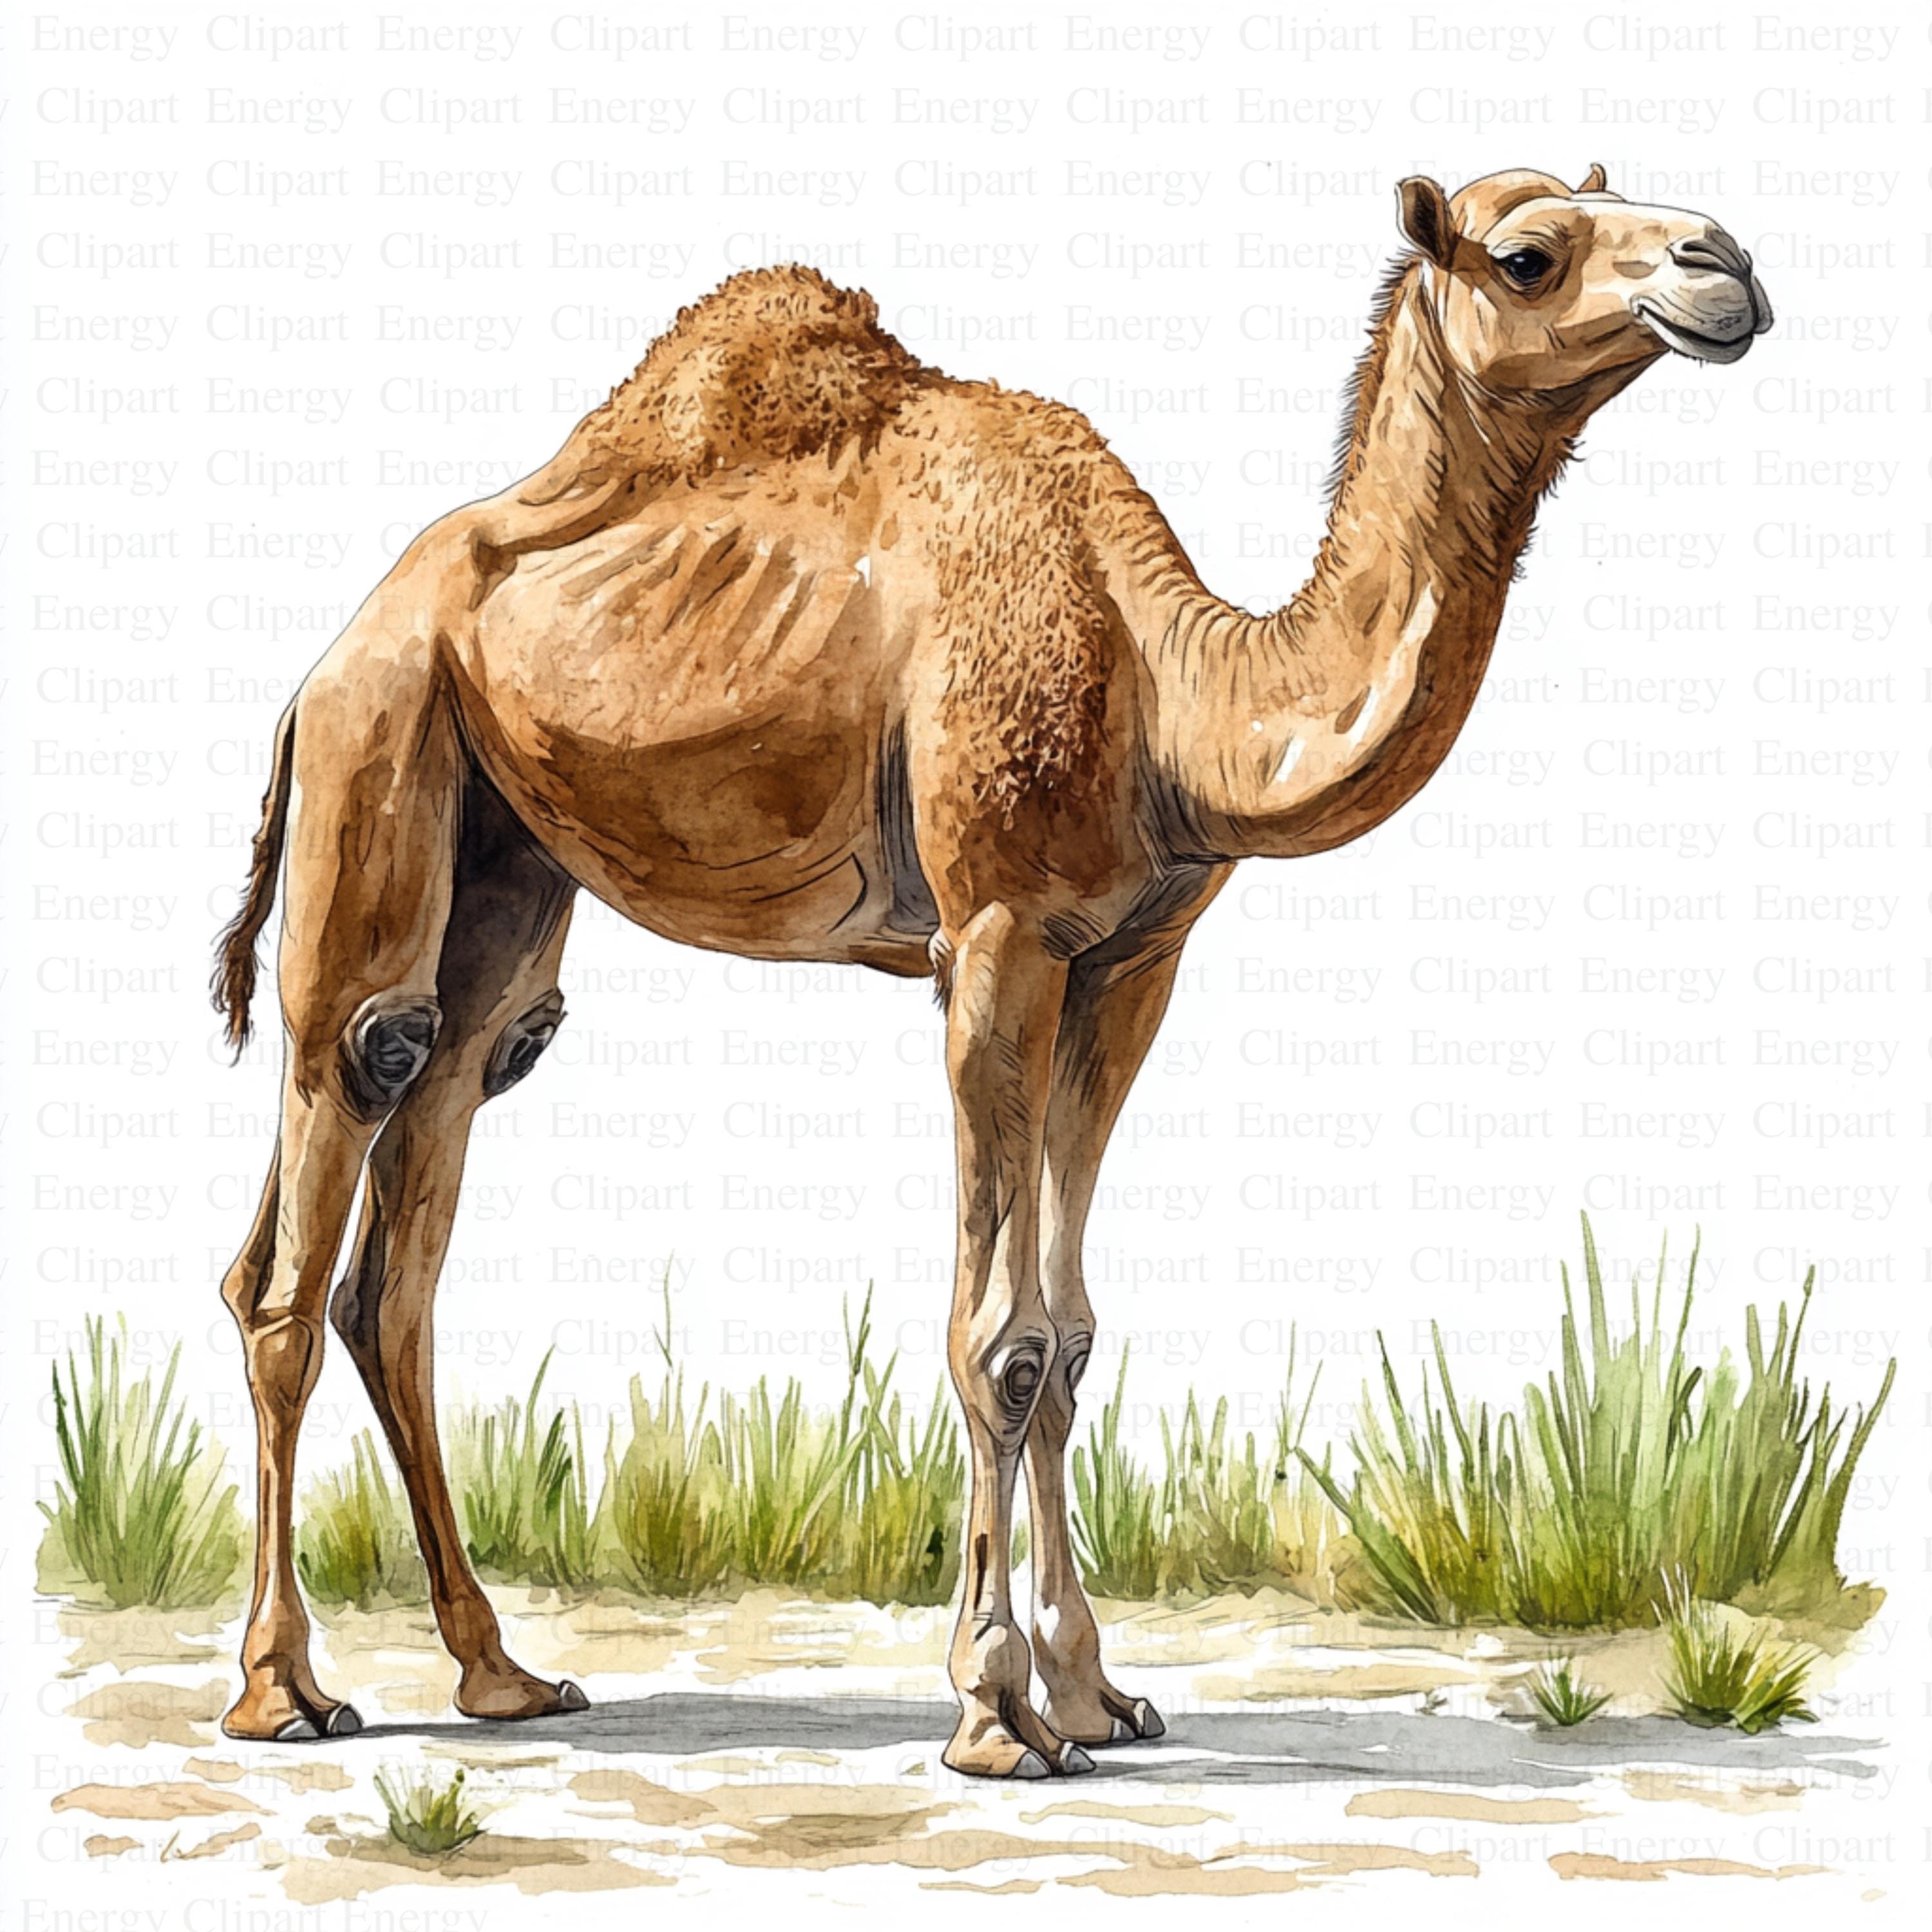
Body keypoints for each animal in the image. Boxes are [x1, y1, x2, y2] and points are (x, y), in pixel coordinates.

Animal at [211, 166, 1771, 1777]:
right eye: (1529, 255)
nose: (1724, 266)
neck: (1173, 695)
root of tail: (325, 659)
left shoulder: (1127, 963)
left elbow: (1070, 1336)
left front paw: (1097, 1696)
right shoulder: (994, 936)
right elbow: (997, 1341)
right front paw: (994, 1709)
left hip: (508, 869)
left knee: (411, 1227)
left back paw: (500, 1672)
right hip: (379, 753)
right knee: (321, 1172)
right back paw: (286, 1691)